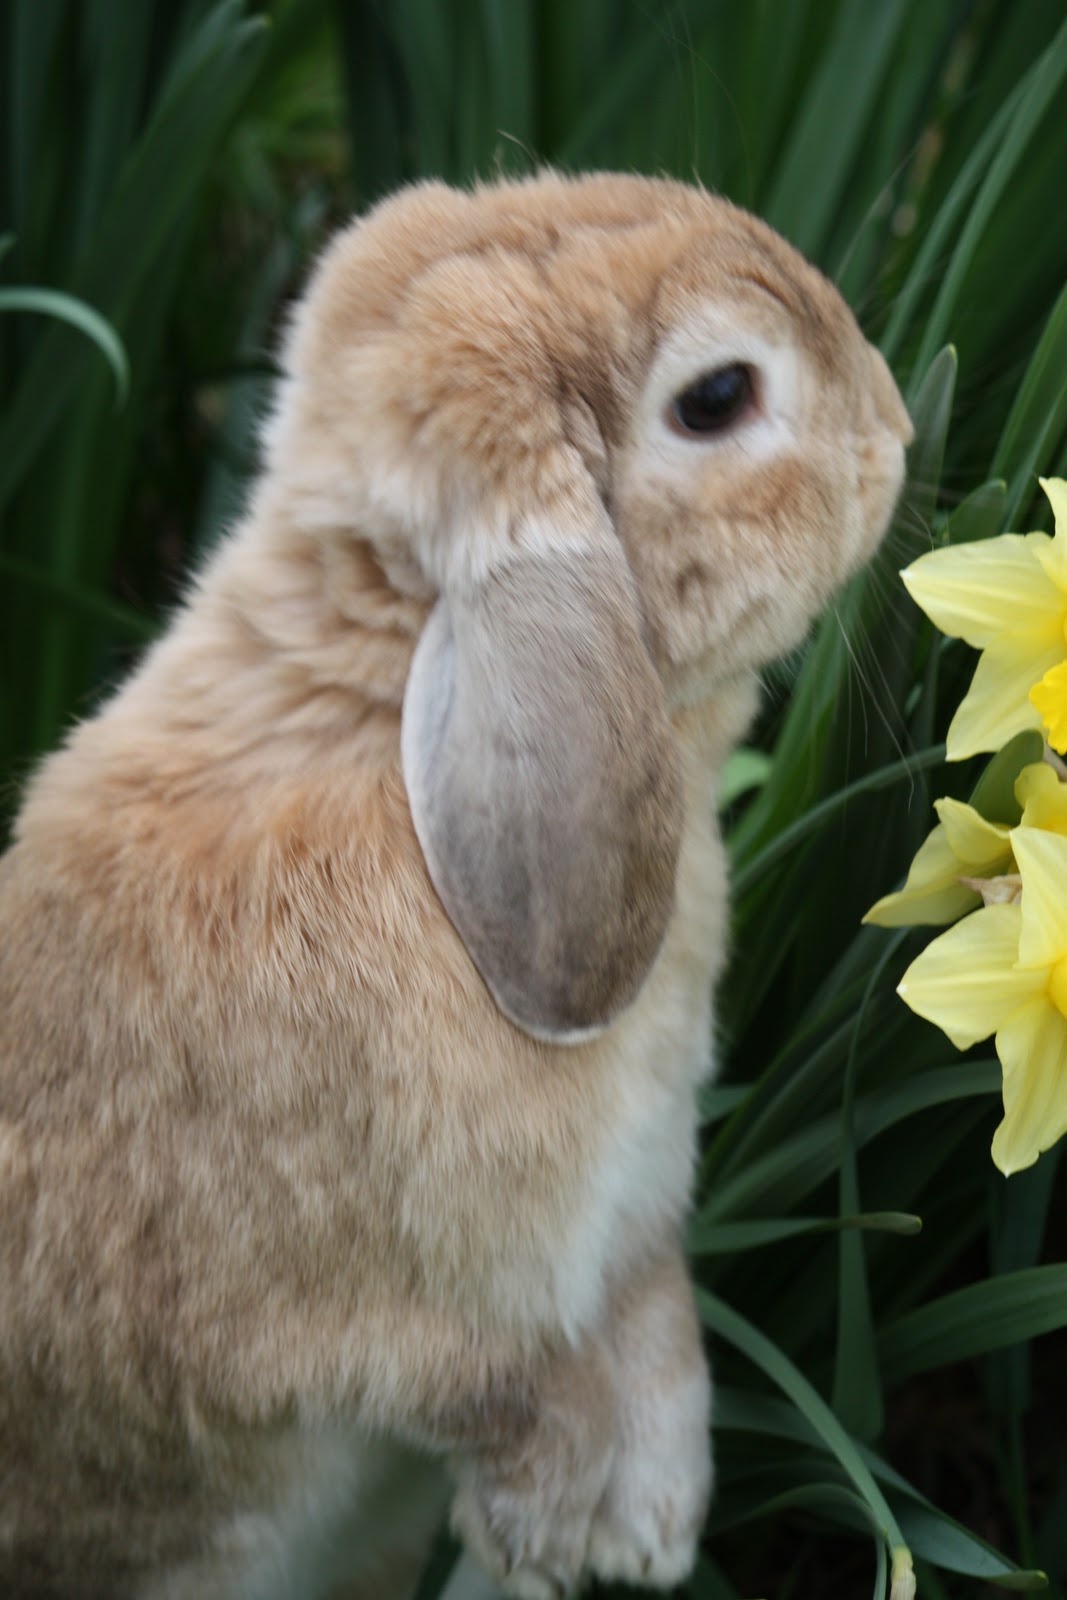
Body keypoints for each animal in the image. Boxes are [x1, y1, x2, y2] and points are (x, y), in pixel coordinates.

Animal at [0, 170, 912, 1600]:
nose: (895, 427)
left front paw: (650, 1526)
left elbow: (655, 1332)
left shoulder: (636, 1220)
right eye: (718, 396)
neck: (384, 719)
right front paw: (558, 1524)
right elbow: (501, 1388)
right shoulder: (342, 1330)